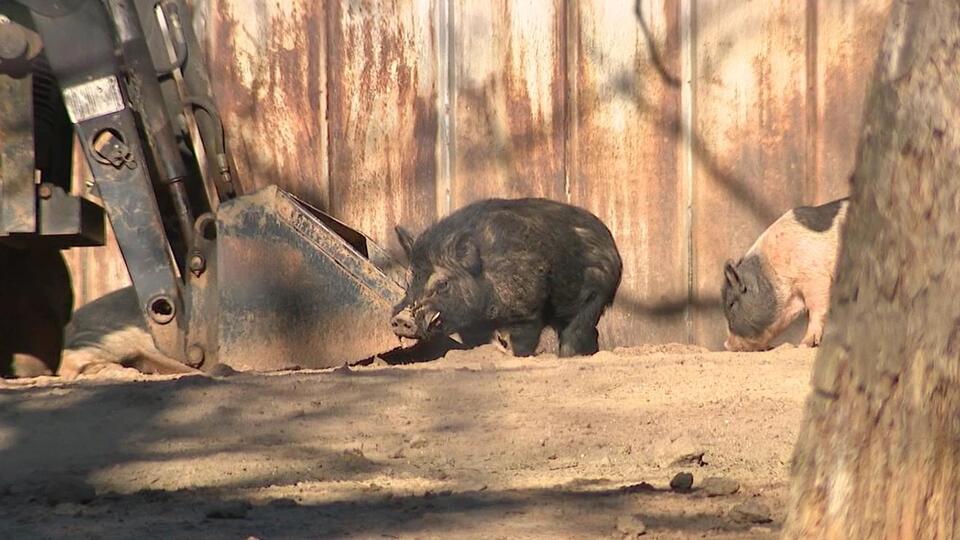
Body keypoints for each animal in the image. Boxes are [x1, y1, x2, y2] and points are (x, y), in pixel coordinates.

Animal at [390, 198, 623, 357]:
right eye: (409, 280)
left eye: (442, 283)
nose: (401, 318)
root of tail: (611, 244)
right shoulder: (473, 326)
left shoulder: (527, 310)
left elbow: (522, 341)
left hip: (596, 294)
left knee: (576, 330)